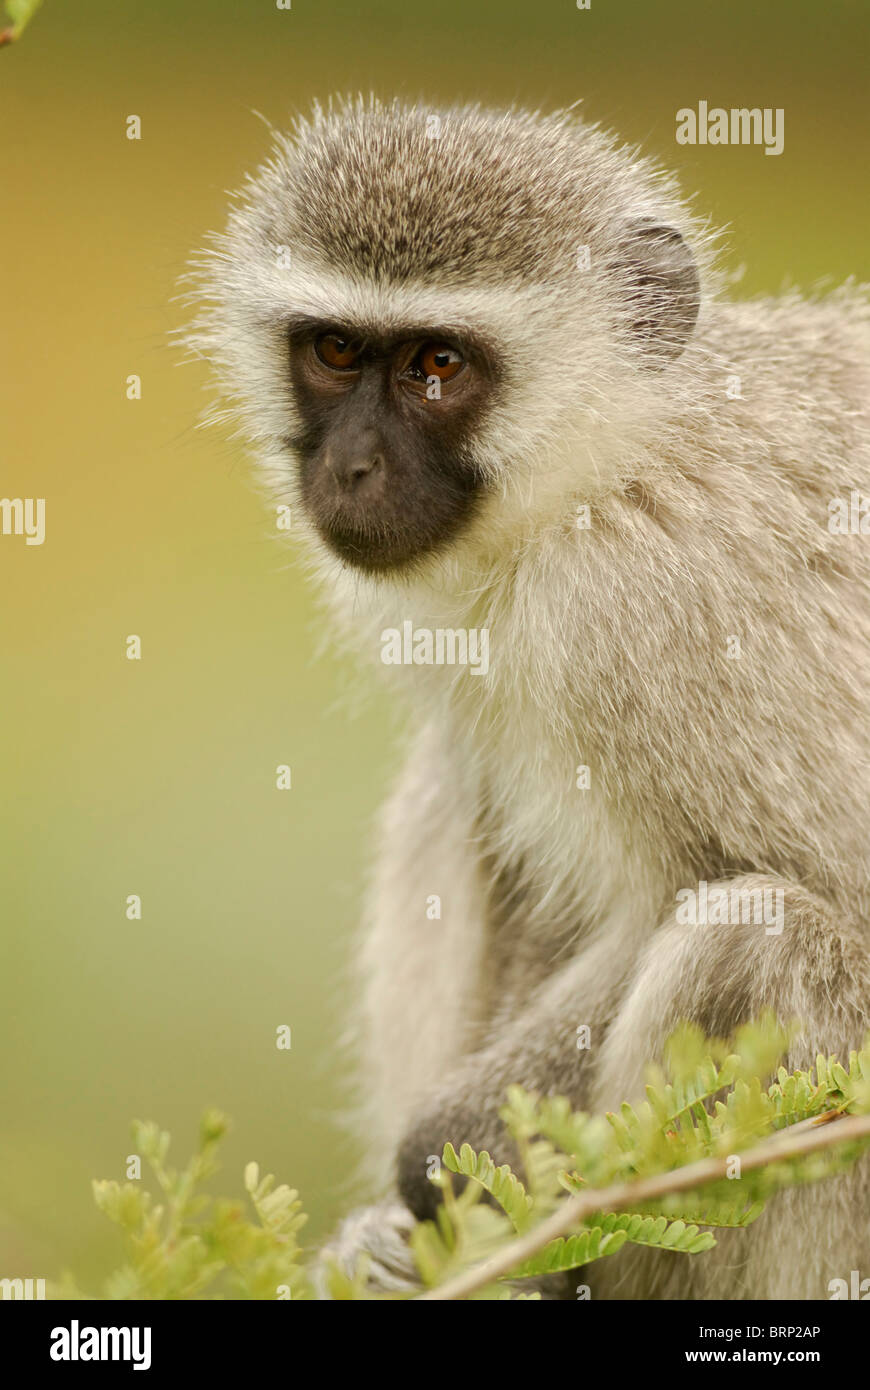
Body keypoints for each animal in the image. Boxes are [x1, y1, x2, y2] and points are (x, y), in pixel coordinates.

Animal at [188, 97, 870, 1299]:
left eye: (439, 365)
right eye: (334, 350)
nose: (351, 470)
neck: (606, 472)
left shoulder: (650, 610)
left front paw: (439, 1161)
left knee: (758, 936)